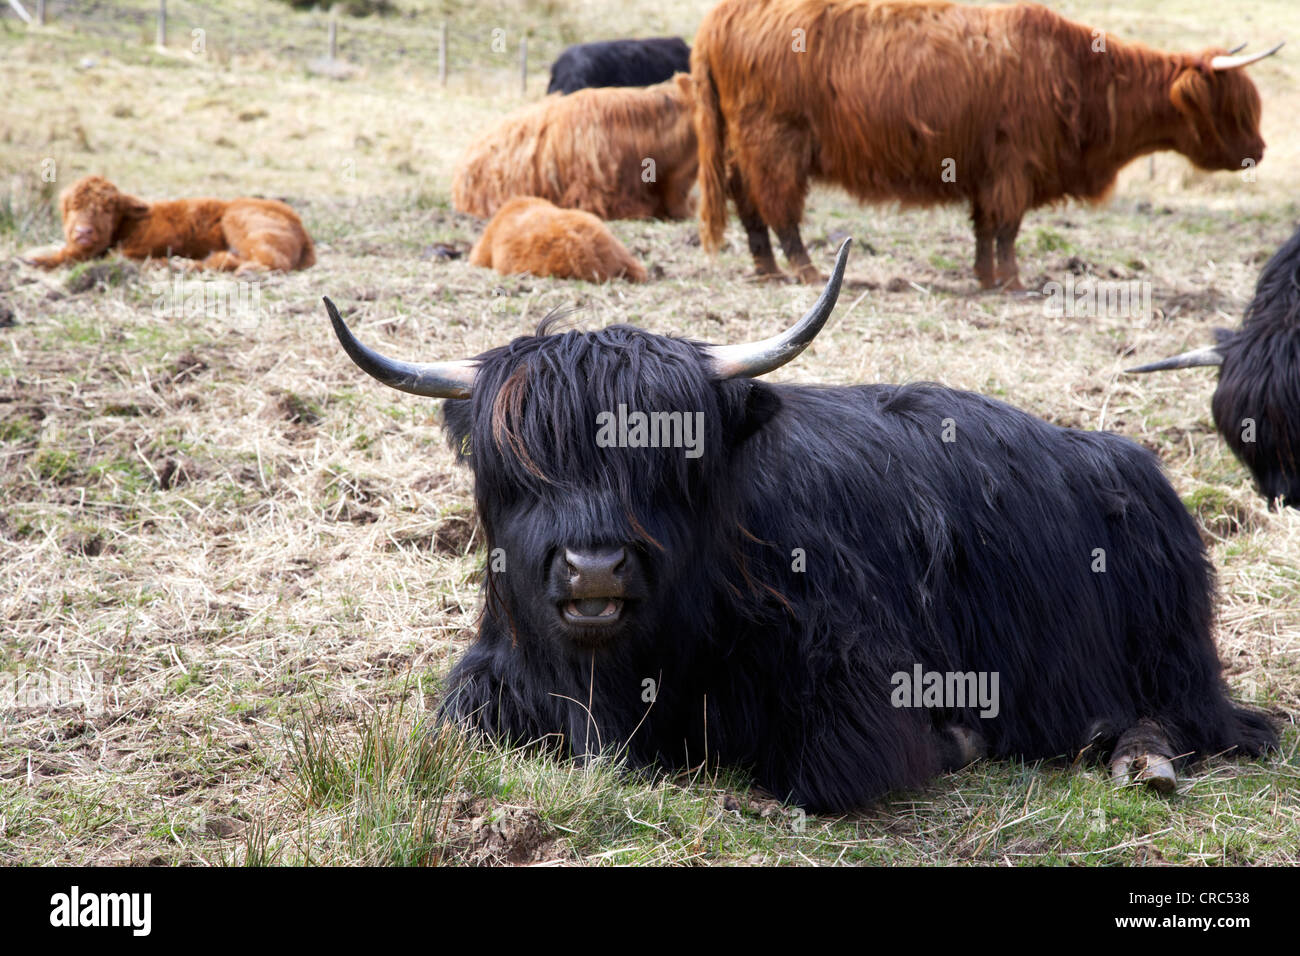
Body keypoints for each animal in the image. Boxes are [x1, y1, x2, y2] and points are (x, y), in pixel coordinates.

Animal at [20, 175, 315, 274]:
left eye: (107, 207)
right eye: (71, 206)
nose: (83, 232)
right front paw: (33, 259)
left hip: (240, 222)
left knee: (270, 261)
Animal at [322, 239, 1275, 813]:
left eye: (674, 462)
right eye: (516, 466)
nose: (593, 570)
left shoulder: (853, 687)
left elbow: (817, 769)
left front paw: (959, 738)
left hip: (1170, 651)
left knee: (1194, 716)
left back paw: (1141, 761)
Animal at [692, 0, 1280, 288]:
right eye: (1235, 108)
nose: (1261, 150)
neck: (1082, 75)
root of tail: (719, 16)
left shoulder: (987, 168)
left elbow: (984, 227)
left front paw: (984, 275)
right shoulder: (1014, 164)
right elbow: (1007, 227)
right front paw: (1013, 281)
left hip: (745, 144)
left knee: (748, 204)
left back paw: (767, 269)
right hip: (775, 138)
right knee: (777, 205)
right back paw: (804, 269)